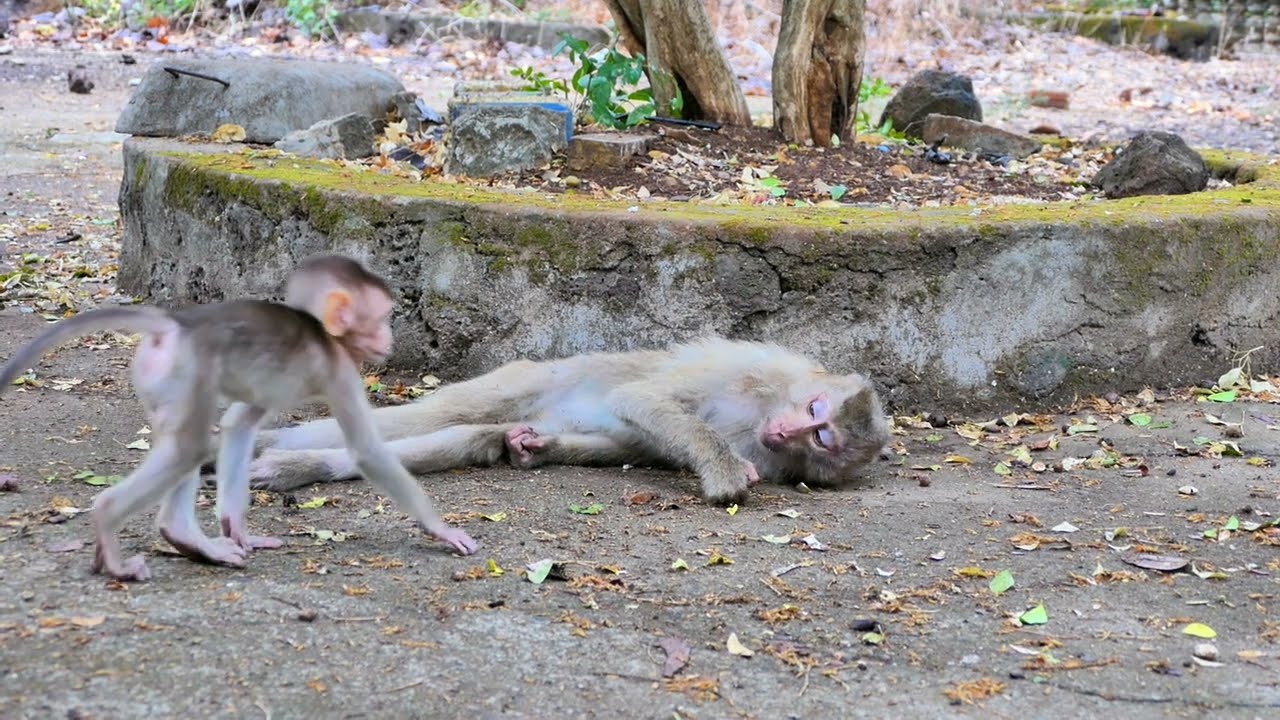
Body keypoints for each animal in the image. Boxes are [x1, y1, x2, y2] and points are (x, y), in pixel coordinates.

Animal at [0, 255, 477, 582]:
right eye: (379, 320)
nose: (388, 338)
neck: (322, 331)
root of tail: (178, 326)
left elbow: (238, 425)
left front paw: (237, 529)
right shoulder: (341, 371)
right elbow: (367, 452)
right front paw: (441, 529)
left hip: (160, 381)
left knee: (184, 444)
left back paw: (186, 538)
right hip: (188, 371)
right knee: (187, 448)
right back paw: (111, 525)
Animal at [240, 338, 892, 506]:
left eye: (823, 439)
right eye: (817, 412)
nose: (785, 434)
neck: (769, 404)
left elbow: (630, 438)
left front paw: (539, 449)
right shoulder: (745, 370)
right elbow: (641, 398)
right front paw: (725, 471)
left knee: (468, 438)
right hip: (523, 380)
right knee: (445, 413)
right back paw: (263, 443)